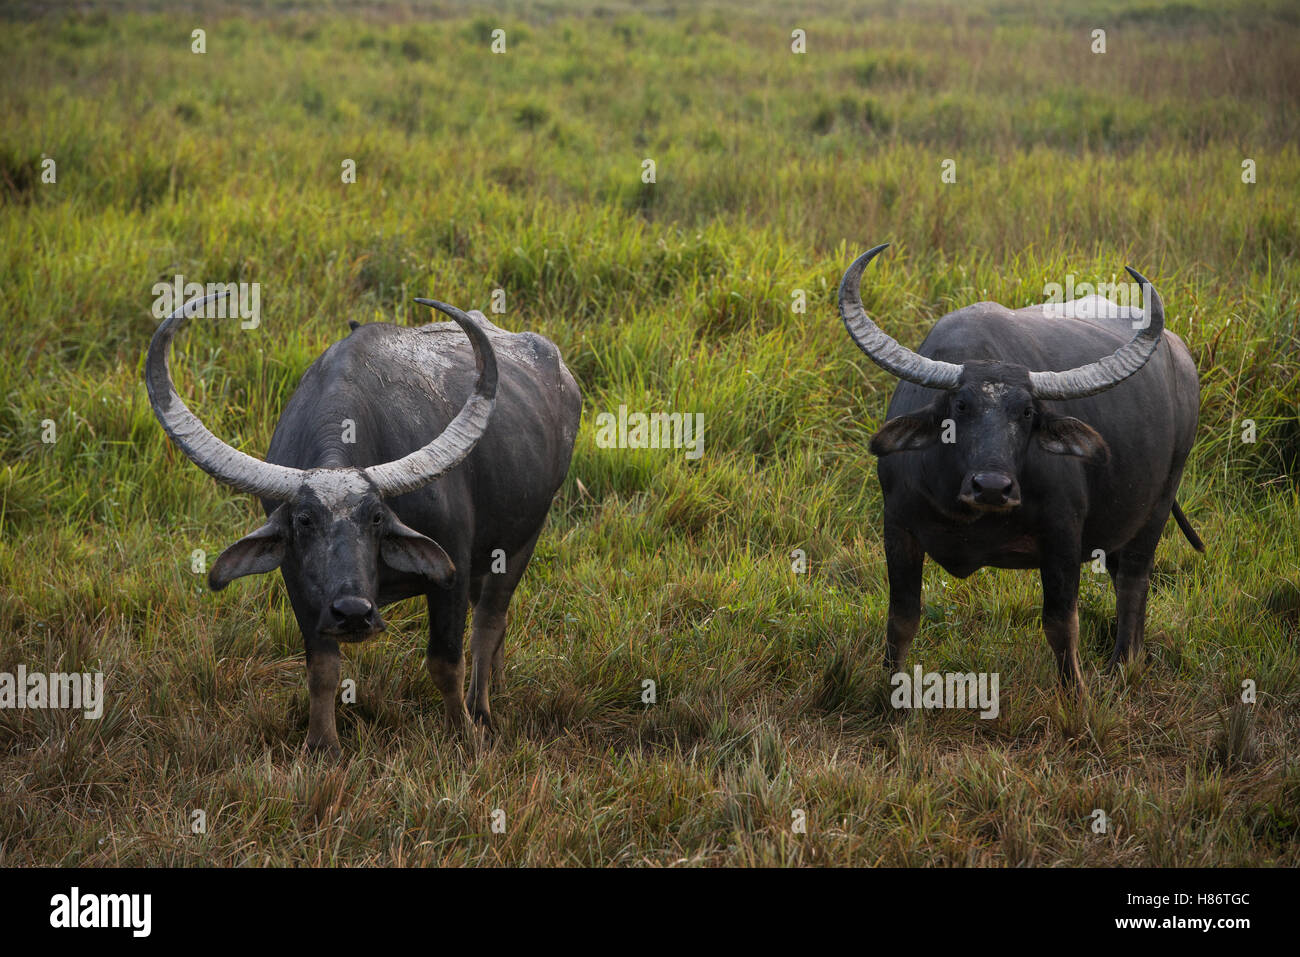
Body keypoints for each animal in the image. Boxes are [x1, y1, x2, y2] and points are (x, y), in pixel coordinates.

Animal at [147, 294, 581, 753]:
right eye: (303, 521)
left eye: (376, 517)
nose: (353, 613)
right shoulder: (299, 584)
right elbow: (322, 669)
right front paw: (322, 745)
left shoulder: (451, 571)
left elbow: (446, 661)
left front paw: (462, 734)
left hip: (523, 538)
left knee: (488, 622)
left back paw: (480, 709)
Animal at [838, 244, 1202, 692]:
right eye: (960, 406)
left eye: (1028, 412)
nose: (993, 487)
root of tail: (1179, 355)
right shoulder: (897, 527)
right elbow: (901, 621)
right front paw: (890, 696)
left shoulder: (1062, 536)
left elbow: (1062, 626)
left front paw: (1076, 696)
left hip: (1159, 503)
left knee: (1134, 580)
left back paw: (1121, 667)